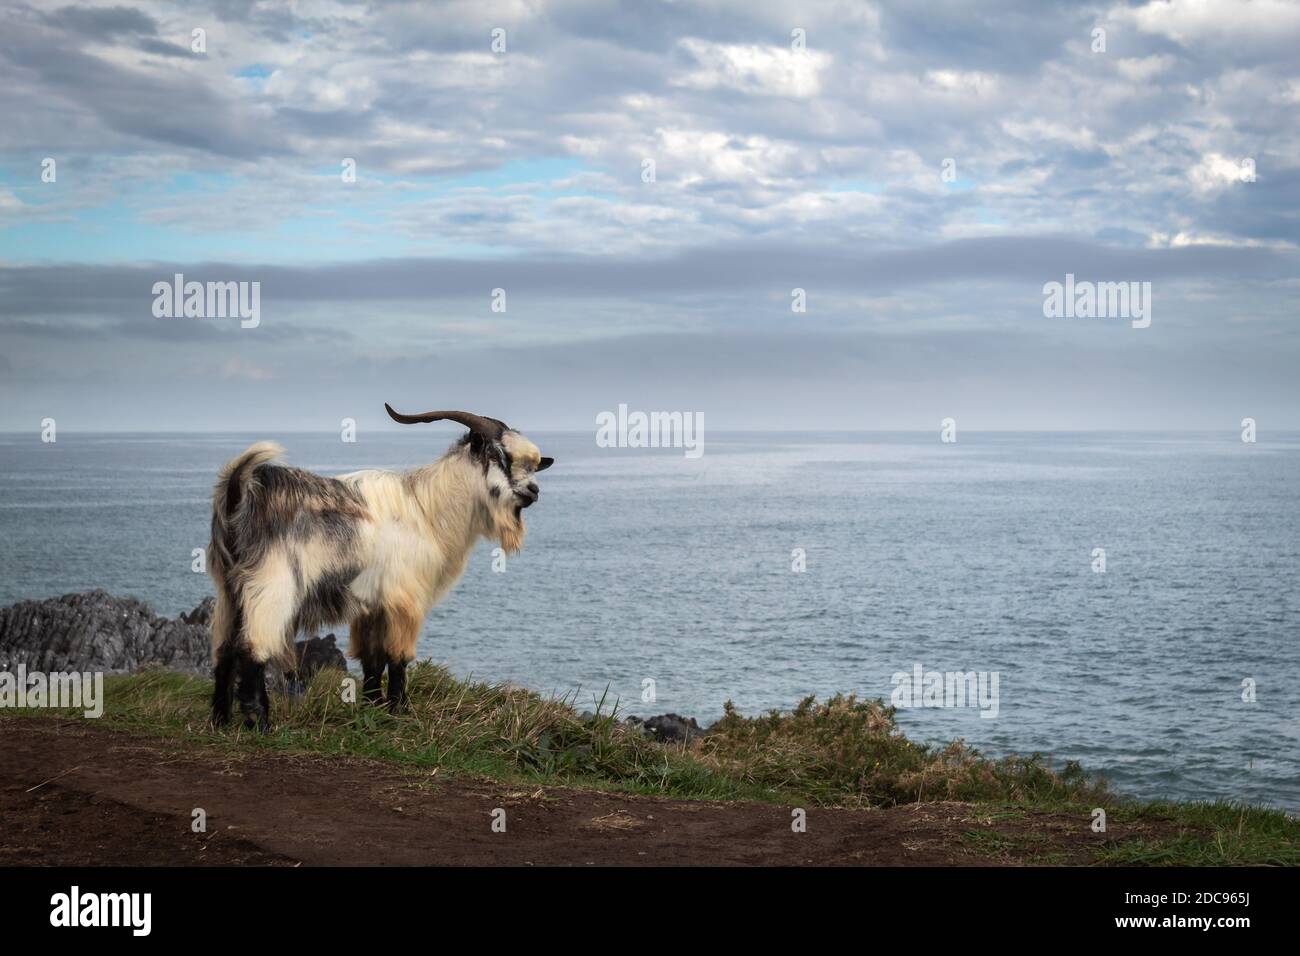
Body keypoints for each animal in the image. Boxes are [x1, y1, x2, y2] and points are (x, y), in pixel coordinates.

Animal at [208, 404, 554, 730]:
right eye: (498, 455)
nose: (533, 491)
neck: (427, 510)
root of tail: (241, 492)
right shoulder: (404, 598)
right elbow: (398, 657)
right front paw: (400, 710)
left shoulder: (372, 605)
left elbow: (372, 658)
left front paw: (373, 708)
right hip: (270, 587)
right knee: (252, 649)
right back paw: (260, 723)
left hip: (229, 591)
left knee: (224, 650)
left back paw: (220, 720)